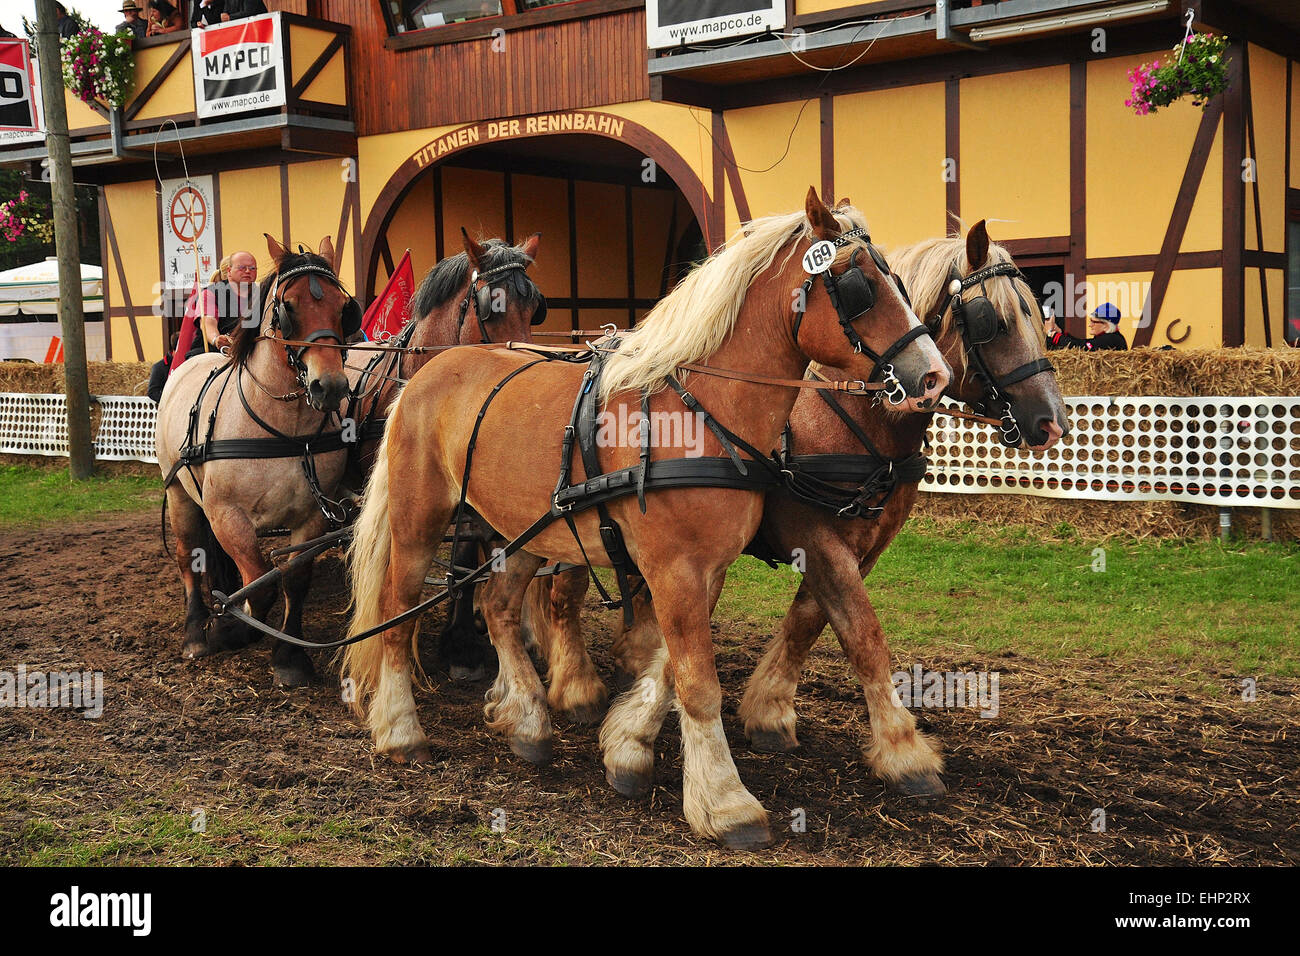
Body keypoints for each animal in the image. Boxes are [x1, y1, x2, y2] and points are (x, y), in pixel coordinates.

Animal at [157, 236, 361, 687]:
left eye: (344, 307)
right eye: (288, 306)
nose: (330, 386)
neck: (283, 429)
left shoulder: (313, 516)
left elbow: (293, 580)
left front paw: (290, 657)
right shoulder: (227, 514)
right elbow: (258, 583)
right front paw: (231, 627)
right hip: (179, 492)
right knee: (188, 554)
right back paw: (195, 632)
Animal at [341, 187, 951, 848]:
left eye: (898, 281)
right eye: (859, 284)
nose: (933, 376)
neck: (701, 410)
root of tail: (425, 372)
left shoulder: (707, 567)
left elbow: (671, 663)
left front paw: (629, 749)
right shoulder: (676, 565)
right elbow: (699, 681)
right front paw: (726, 802)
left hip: (524, 527)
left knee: (498, 606)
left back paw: (528, 722)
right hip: (420, 521)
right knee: (398, 611)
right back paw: (401, 729)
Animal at [570, 218, 1070, 802]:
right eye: (994, 321)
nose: (1053, 422)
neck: (845, 418)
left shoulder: (858, 546)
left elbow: (808, 621)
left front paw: (767, 711)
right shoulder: (815, 537)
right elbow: (864, 636)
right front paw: (904, 750)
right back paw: (574, 688)